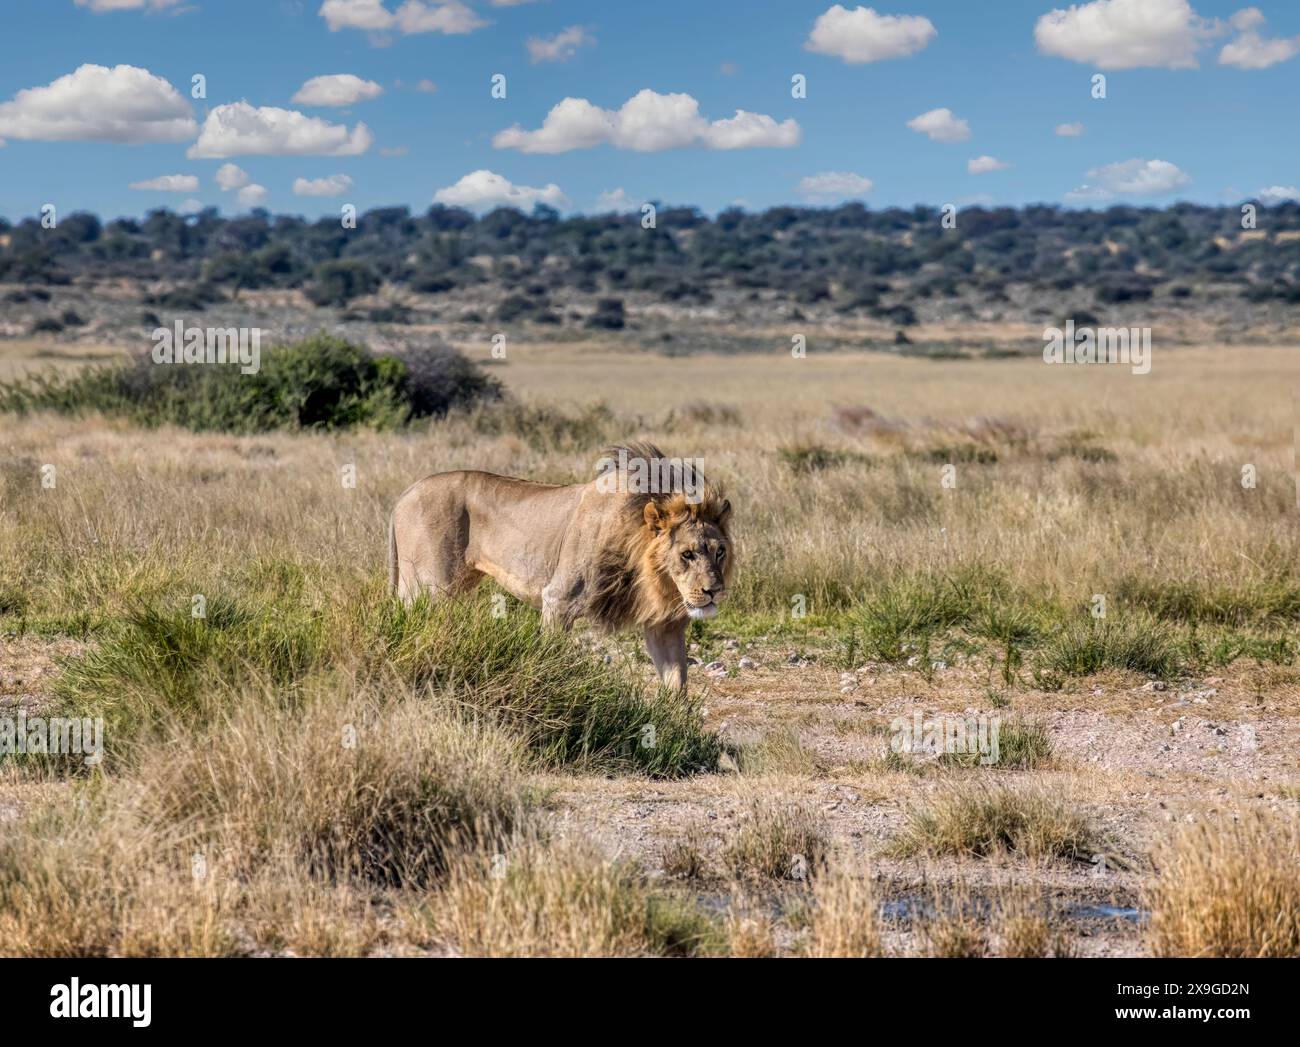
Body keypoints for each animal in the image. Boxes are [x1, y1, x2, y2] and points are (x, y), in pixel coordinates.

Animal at [388, 443, 733, 691]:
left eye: (720, 552)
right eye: (687, 554)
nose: (714, 591)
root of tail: (404, 494)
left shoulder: (665, 625)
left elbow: (677, 681)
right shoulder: (559, 599)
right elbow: (551, 655)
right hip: (428, 589)